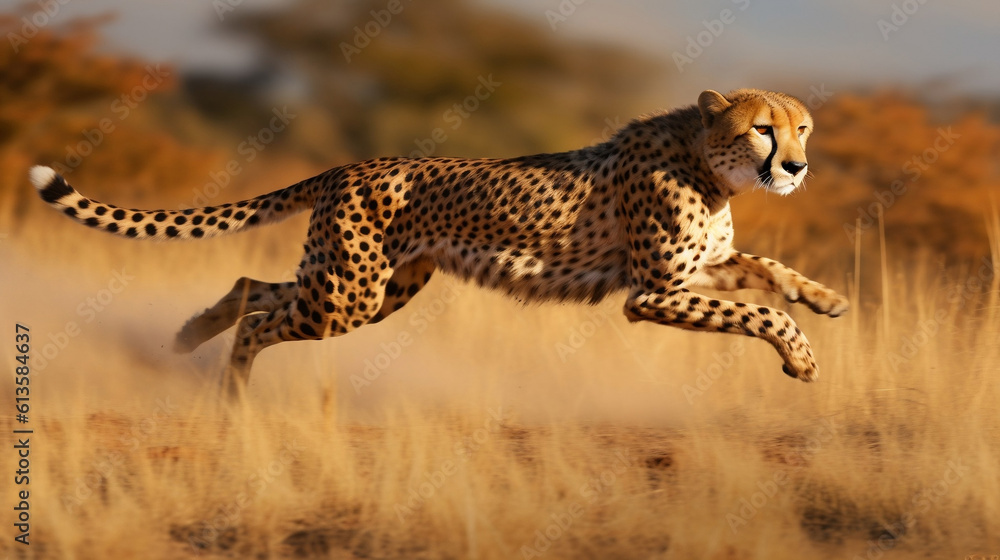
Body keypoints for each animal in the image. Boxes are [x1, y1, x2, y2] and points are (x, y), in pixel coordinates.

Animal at [30, 88, 849, 398]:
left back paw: (187, 341)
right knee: (261, 318)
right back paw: (230, 395)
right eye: (763, 129)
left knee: (251, 288)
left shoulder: (696, 270)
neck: (707, 161)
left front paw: (828, 297)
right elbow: (759, 313)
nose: (798, 166)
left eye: (803, 127)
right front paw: (802, 357)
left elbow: (765, 271)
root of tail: (348, 165)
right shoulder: (649, 294)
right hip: (349, 295)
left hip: (372, 286)